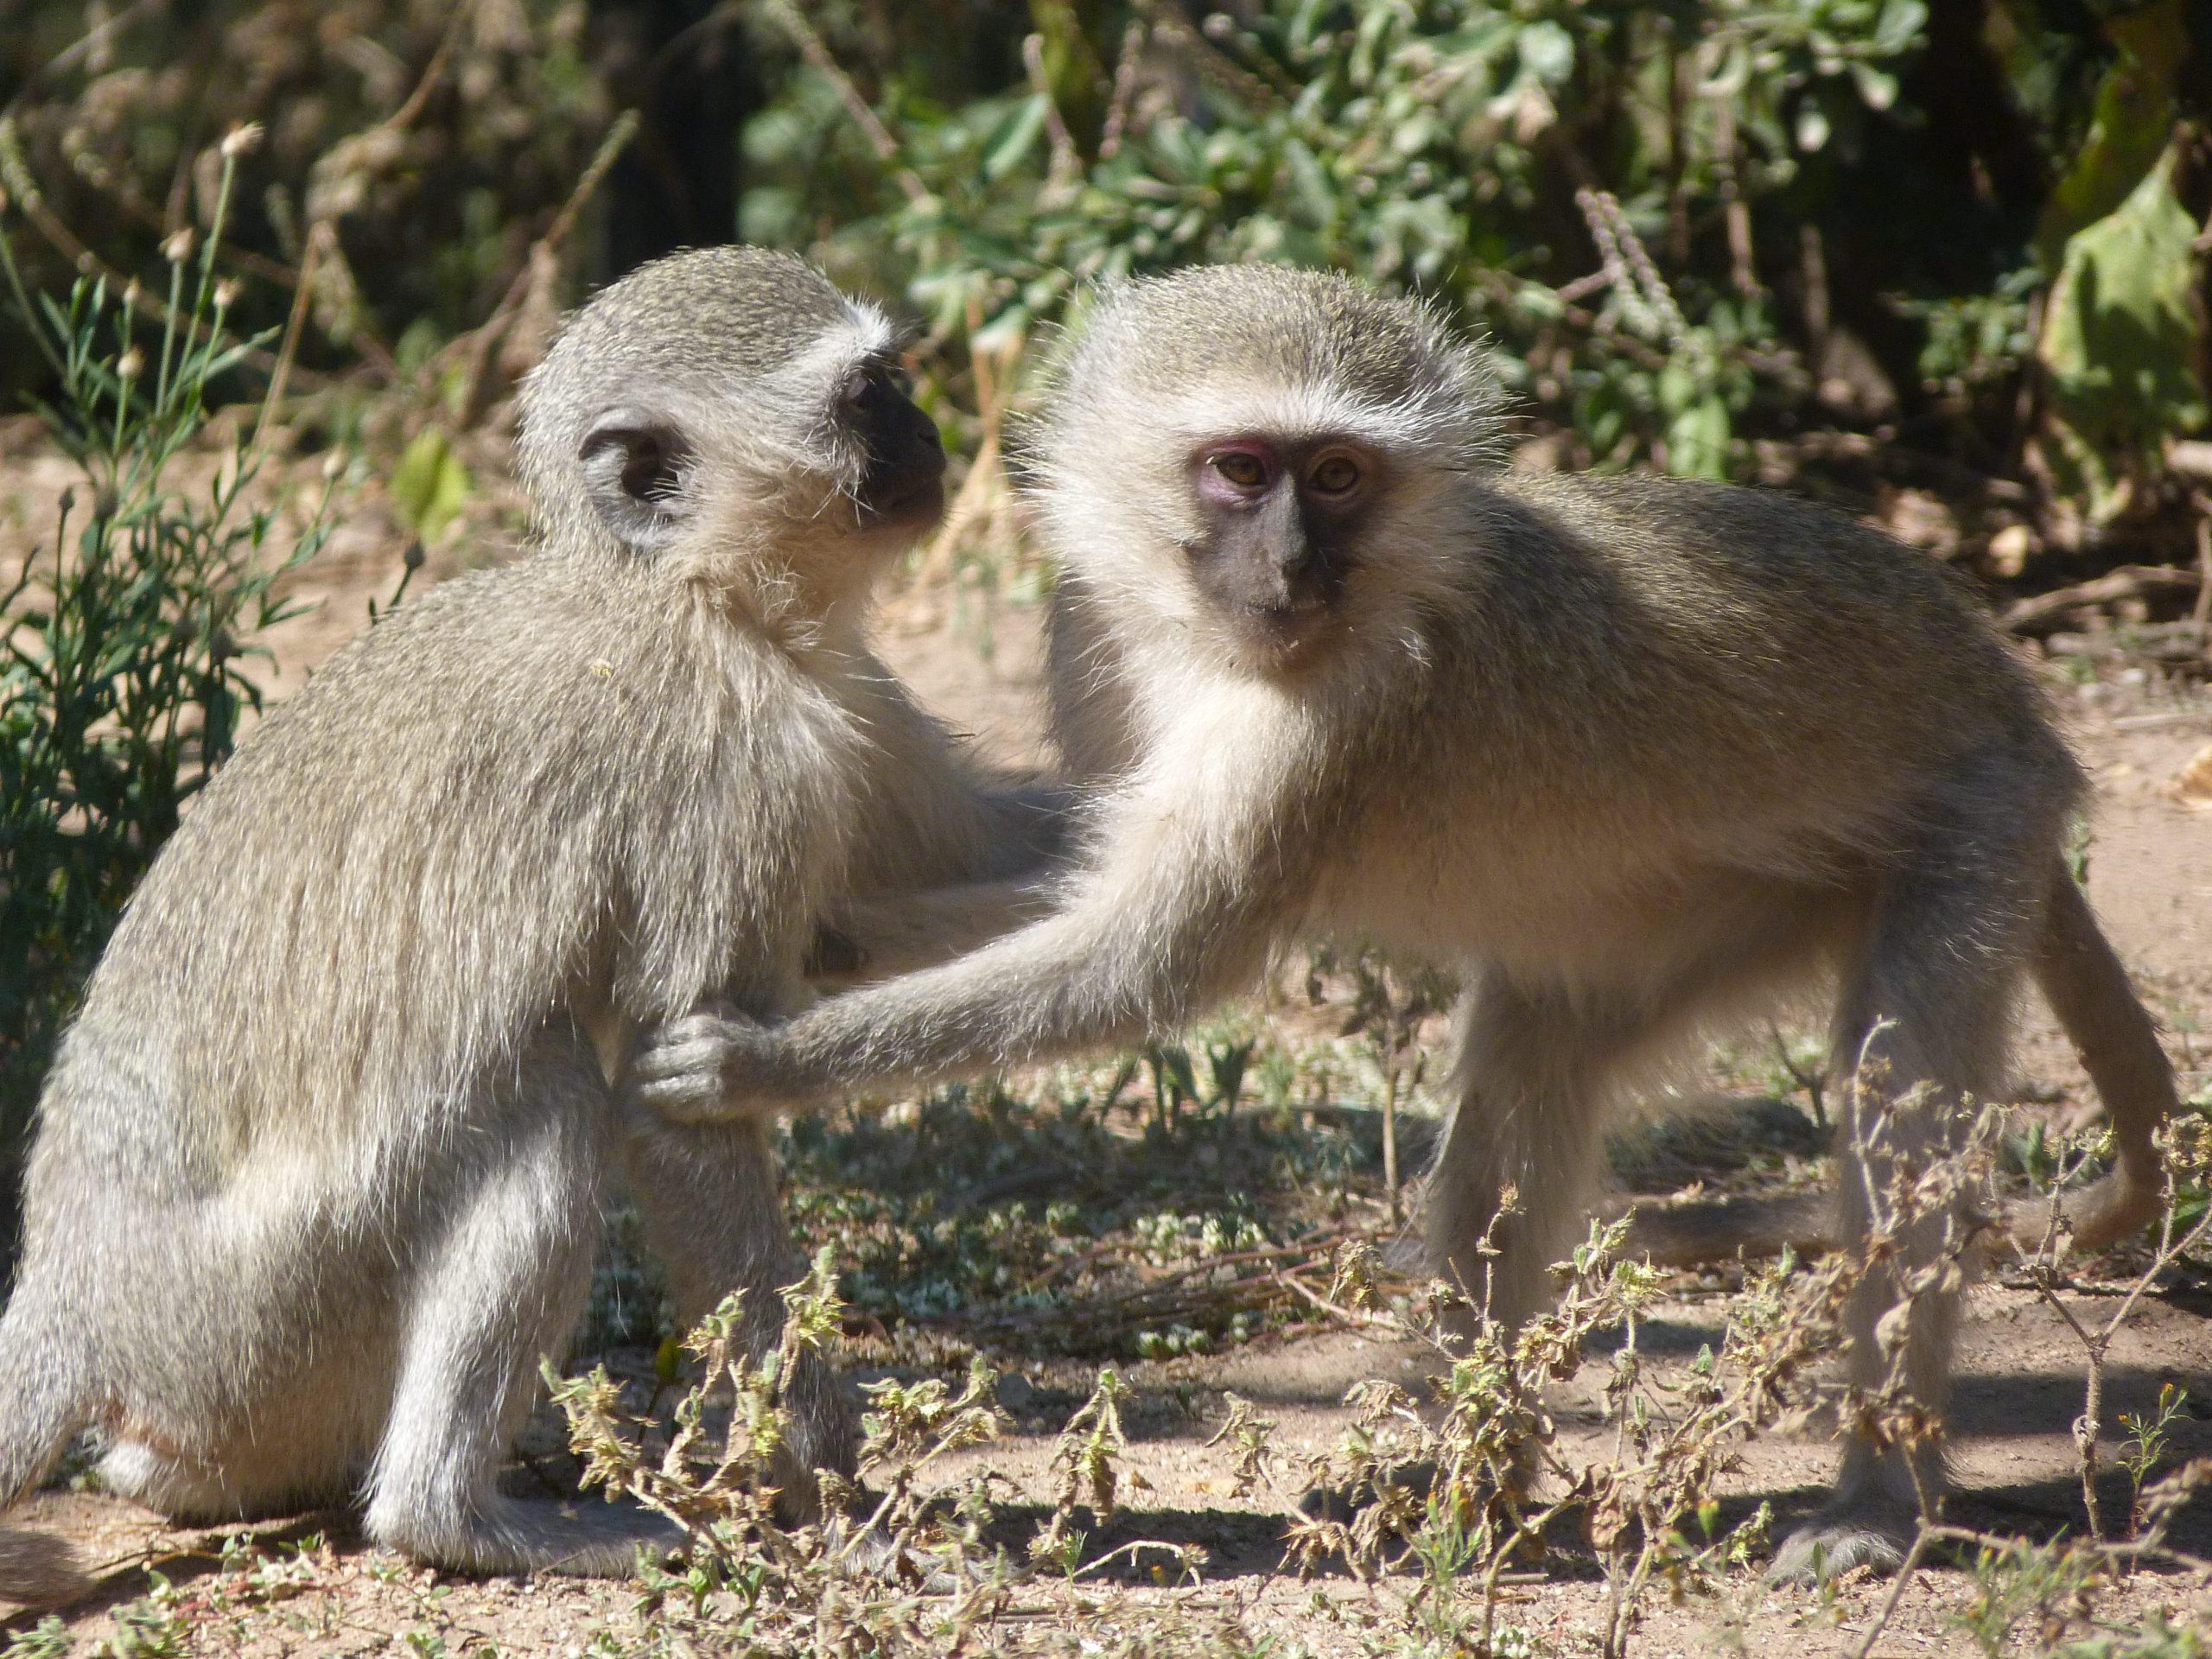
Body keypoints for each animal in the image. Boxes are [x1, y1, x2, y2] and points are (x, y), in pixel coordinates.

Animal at [0, 246, 1071, 1603]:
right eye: (866, 395)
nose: (932, 435)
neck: (674, 590)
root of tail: (70, 1298)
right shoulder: (728, 762)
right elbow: (680, 1109)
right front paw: (836, 1496)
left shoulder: (841, 698)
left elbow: (999, 855)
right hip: (253, 1315)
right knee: (548, 1100)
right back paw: (452, 1518)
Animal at [626, 263, 2181, 1583]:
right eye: (1241, 469)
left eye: (1338, 477)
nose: (1295, 568)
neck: (1210, 637)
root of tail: (2007, 696)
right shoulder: (1092, 637)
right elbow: (1081, 872)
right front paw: (827, 940)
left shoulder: (1338, 723)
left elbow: (1149, 959)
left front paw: (765, 1058)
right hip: (1706, 916)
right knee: (1522, 1103)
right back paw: (1480, 1486)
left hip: (1972, 832)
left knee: (1893, 1125)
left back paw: (1877, 1494)